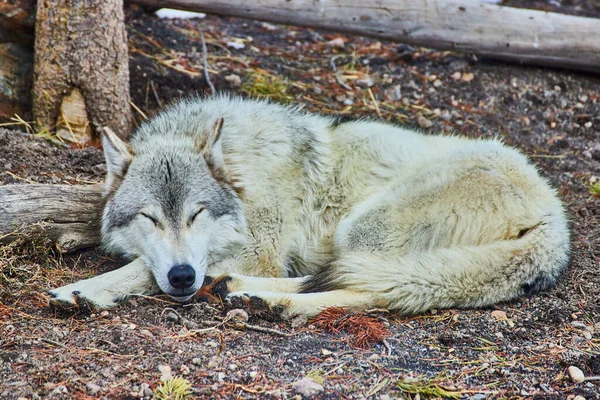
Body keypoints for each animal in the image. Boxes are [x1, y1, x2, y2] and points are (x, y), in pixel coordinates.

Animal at [49, 97, 568, 318]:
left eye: (196, 214)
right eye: (150, 218)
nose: (181, 278)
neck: (243, 170)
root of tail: (555, 215)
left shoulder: (258, 252)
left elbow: (140, 268)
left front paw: (84, 289)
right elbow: (144, 262)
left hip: (360, 228)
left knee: (375, 288)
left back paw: (263, 298)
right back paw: (245, 292)